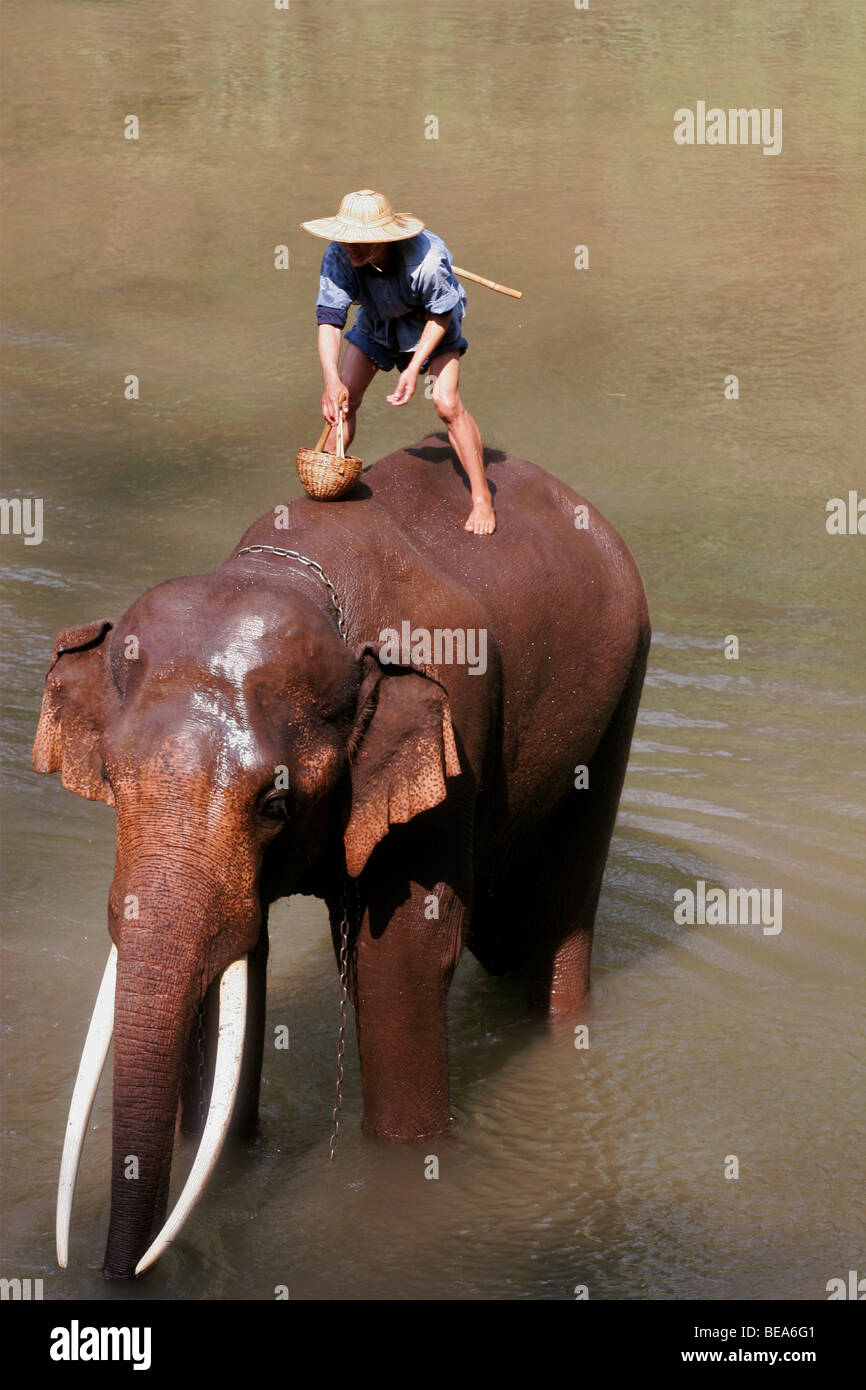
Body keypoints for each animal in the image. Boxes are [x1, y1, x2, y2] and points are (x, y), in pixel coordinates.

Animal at [32, 432, 650, 1280]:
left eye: (276, 805)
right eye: (117, 788)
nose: (116, 1279)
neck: (293, 578)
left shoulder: (449, 736)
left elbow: (405, 954)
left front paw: (405, 1176)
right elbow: (233, 958)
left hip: (626, 673)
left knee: (567, 895)